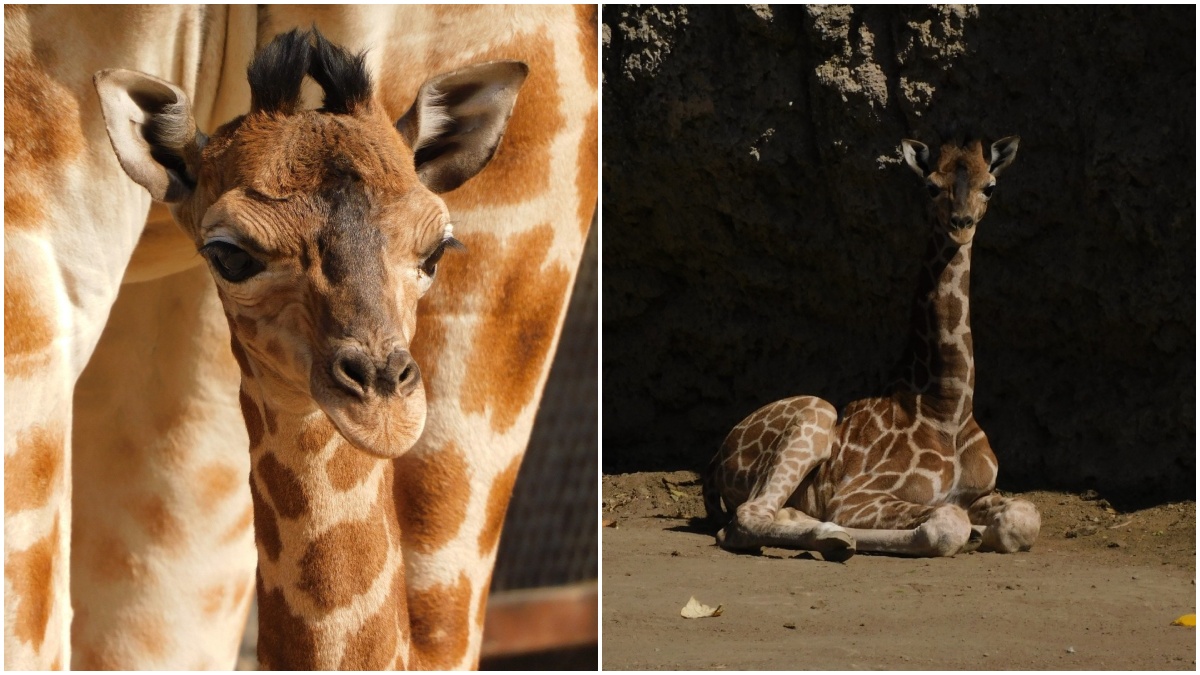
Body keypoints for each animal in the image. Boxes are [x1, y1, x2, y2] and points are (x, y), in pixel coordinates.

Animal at [702, 135, 1040, 560]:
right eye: (931, 186)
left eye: (989, 186)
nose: (961, 224)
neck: (949, 408)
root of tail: (715, 460)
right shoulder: (856, 497)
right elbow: (947, 525)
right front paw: (969, 533)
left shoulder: (978, 494)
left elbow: (1024, 516)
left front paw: (989, 531)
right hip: (816, 411)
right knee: (743, 519)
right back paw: (833, 539)